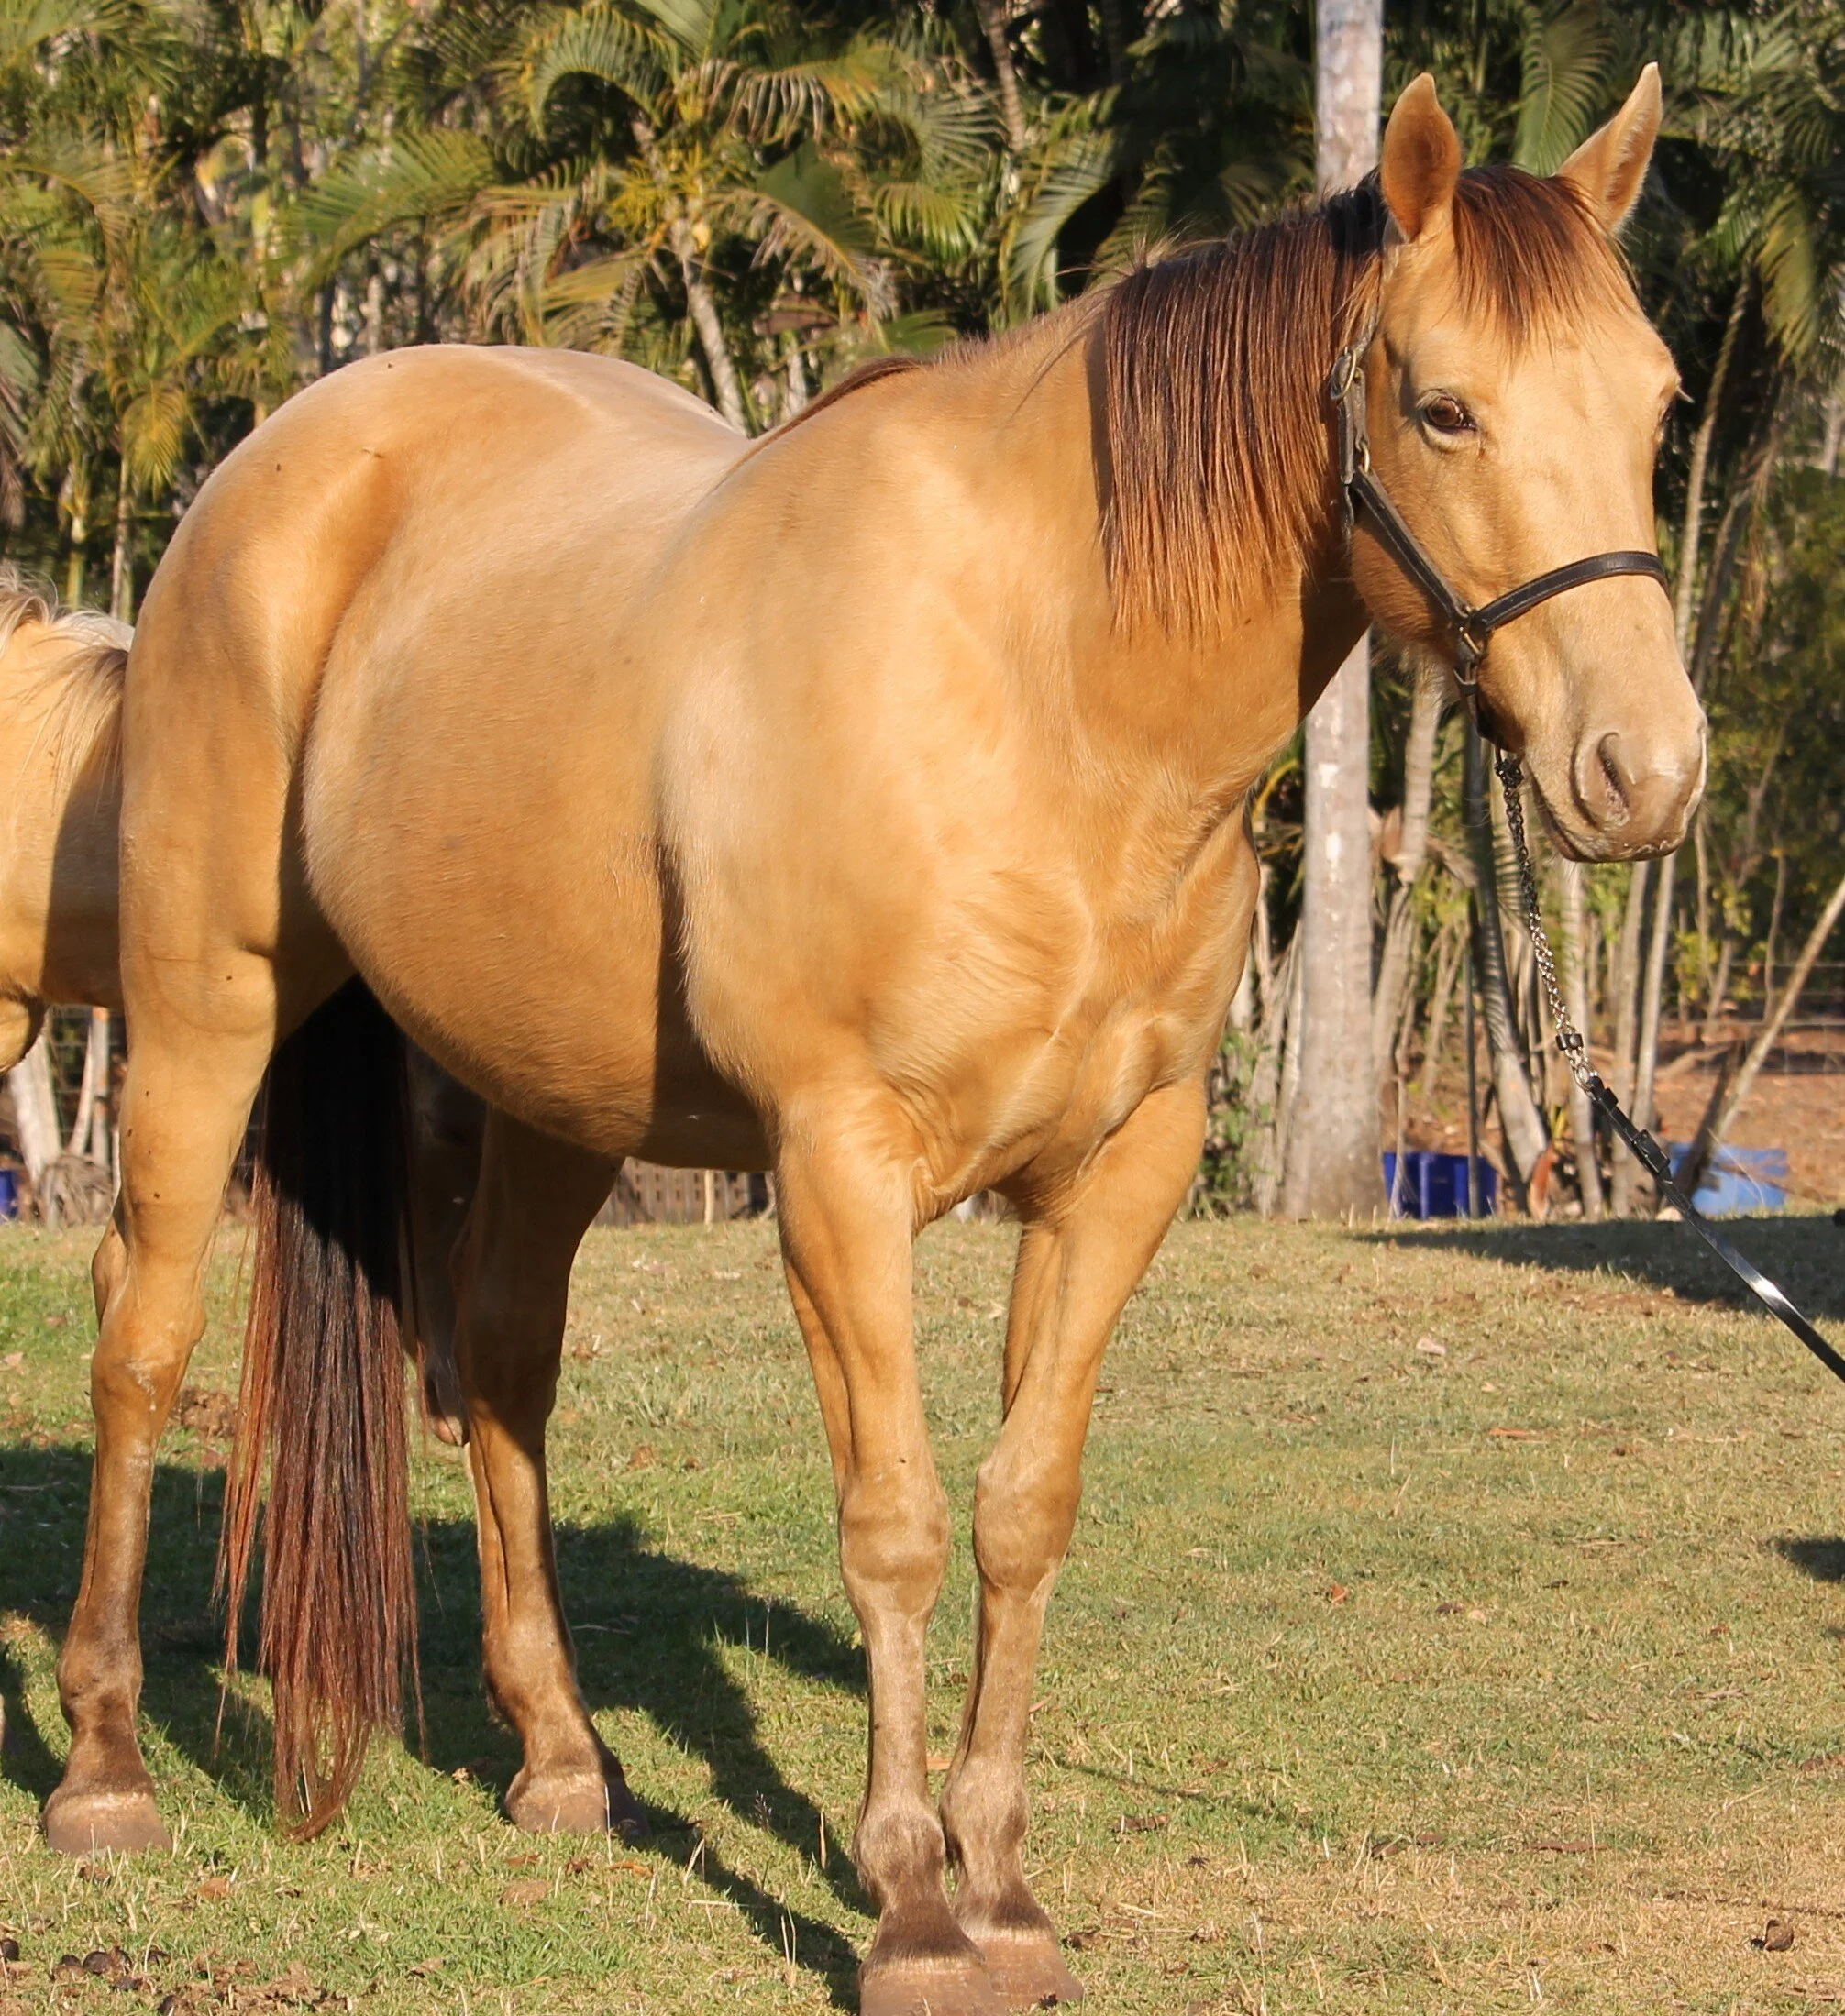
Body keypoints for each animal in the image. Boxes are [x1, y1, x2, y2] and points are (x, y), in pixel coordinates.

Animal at [46, 72, 1702, 2016]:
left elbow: (1021, 1505)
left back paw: (560, 1759)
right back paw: (102, 1766)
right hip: (205, 1007)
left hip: (551, 1099)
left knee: (501, 1362)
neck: (1045, 693)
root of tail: (278, 461)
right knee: (142, 1331)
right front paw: (909, 1903)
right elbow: (896, 1515)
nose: (1641, 770)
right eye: (1442, 404)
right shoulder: (839, 1164)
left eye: (1658, 401)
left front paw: (1002, 1884)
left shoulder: (1117, 1173)